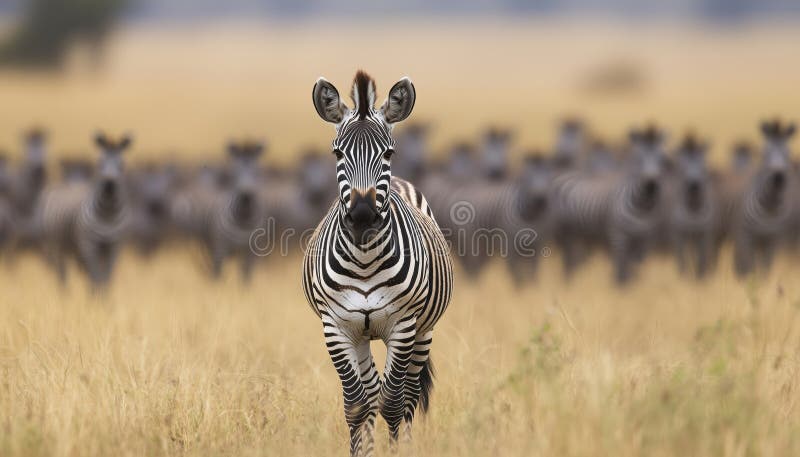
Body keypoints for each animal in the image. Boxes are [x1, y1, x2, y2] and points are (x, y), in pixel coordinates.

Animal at [39, 133, 132, 288]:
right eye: (100, 163)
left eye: (122, 165)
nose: (109, 186)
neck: (107, 215)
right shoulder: (88, 244)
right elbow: (95, 278)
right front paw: (94, 294)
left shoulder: (114, 246)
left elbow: (106, 279)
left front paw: (104, 294)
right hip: (57, 244)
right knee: (62, 273)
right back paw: (65, 292)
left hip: (75, 249)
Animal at [304, 71, 453, 456]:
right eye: (337, 152)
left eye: (388, 152)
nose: (362, 216)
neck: (364, 261)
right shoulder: (335, 326)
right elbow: (356, 404)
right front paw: (361, 451)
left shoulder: (403, 325)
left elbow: (394, 404)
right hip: (360, 334)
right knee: (371, 391)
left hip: (424, 331)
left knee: (407, 396)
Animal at [552, 125, 667, 284]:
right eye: (638, 159)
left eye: (662, 159)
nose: (651, 187)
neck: (643, 208)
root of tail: (567, 171)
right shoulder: (618, 235)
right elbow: (621, 268)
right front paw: (620, 286)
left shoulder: (647, 238)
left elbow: (637, 265)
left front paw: (637, 285)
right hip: (563, 228)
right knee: (567, 254)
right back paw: (568, 278)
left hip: (582, 229)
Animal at [666, 133, 721, 278]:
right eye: (682, 167)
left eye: (703, 165)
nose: (694, 185)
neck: (693, 208)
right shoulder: (679, 233)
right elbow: (682, 260)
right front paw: (683, 277)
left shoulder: (705, 233)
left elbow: (701, 259)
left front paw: (700, 277)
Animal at [722, 120, 796, 276]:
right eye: (764, 153)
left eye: (788, 153)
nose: (778, 178)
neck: (770, 207)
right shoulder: (745, 235)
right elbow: (748, 267)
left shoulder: (772, 239)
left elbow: (765, 270)